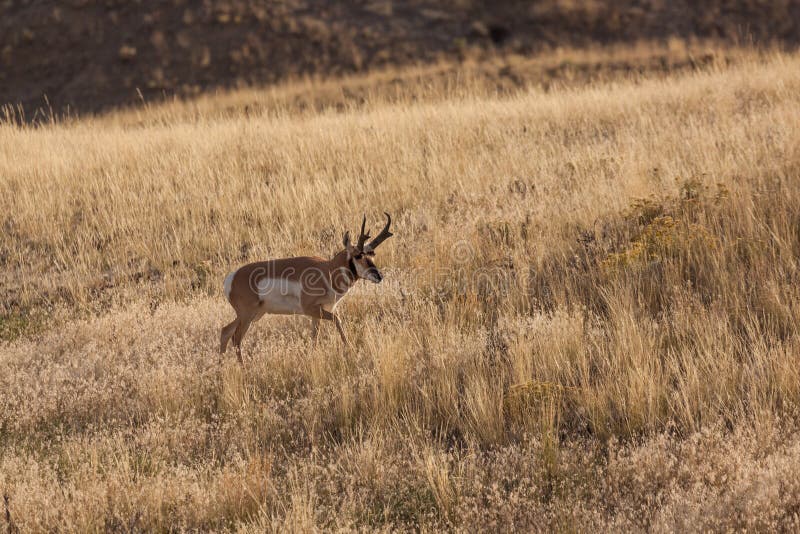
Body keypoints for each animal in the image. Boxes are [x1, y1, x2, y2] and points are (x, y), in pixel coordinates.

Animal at [220, 213, 394, 362]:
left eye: (372, 254)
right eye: (358, 255)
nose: (379, 276)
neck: (327, 270)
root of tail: (232, 277)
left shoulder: (317, 313)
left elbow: (314, 337)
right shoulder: (312, 309)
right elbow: (337, 320)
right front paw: (349, 348)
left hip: (253, 314)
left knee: (225, 331)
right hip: (248, 315)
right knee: (236, 338)